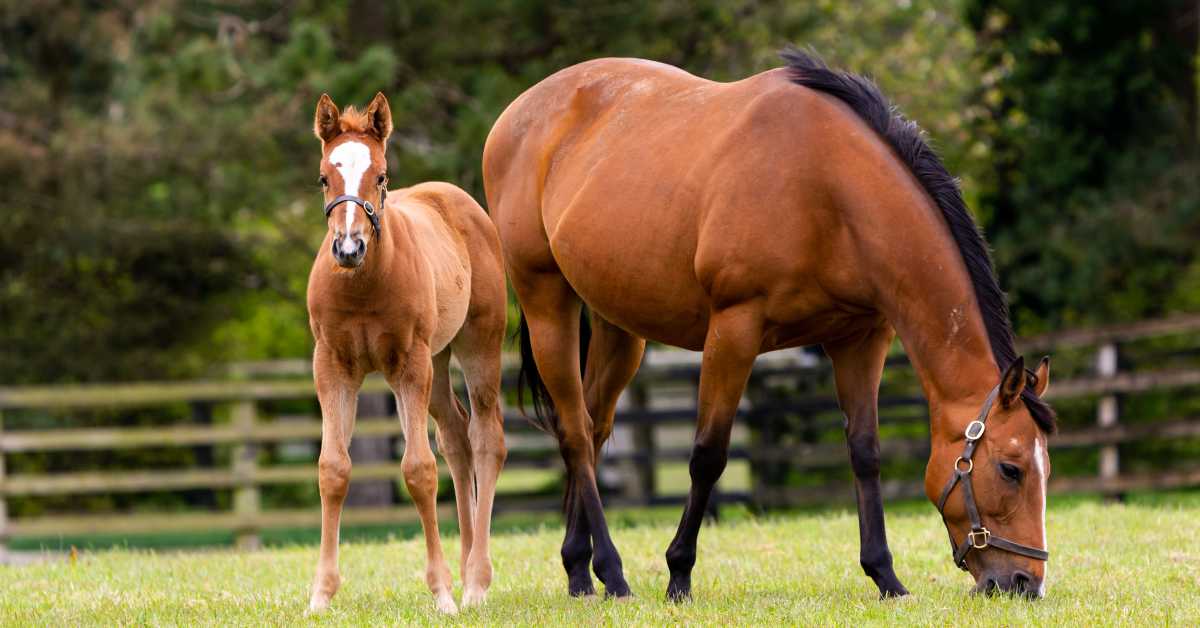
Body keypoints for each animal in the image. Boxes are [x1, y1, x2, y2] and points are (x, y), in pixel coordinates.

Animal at [305, 92, 507, 614]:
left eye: (380, 175)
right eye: (324, 176)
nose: (349, 247)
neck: (363, 285)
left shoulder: (408, 366)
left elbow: (418, 470)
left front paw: (442, 594)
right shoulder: (331, 365)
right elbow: (333, 469)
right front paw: (320, 595)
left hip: (478, 344)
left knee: (486, 439)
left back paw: (476, 583)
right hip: (437, 362)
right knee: (456, 436)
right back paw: (465, 569)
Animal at [482, 49, 1056, 601]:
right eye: (1011, 469)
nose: (1024, 583)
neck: (827, 187)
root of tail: (519, 113)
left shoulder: (860, 338)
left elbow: (864, 451)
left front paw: (885, 577)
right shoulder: (734, 330)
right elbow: (708, 456)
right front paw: (679, 574)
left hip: (619, 327)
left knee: (594, 428)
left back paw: (580, 571)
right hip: (546, 302)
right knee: (576, 433)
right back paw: (612, 572)